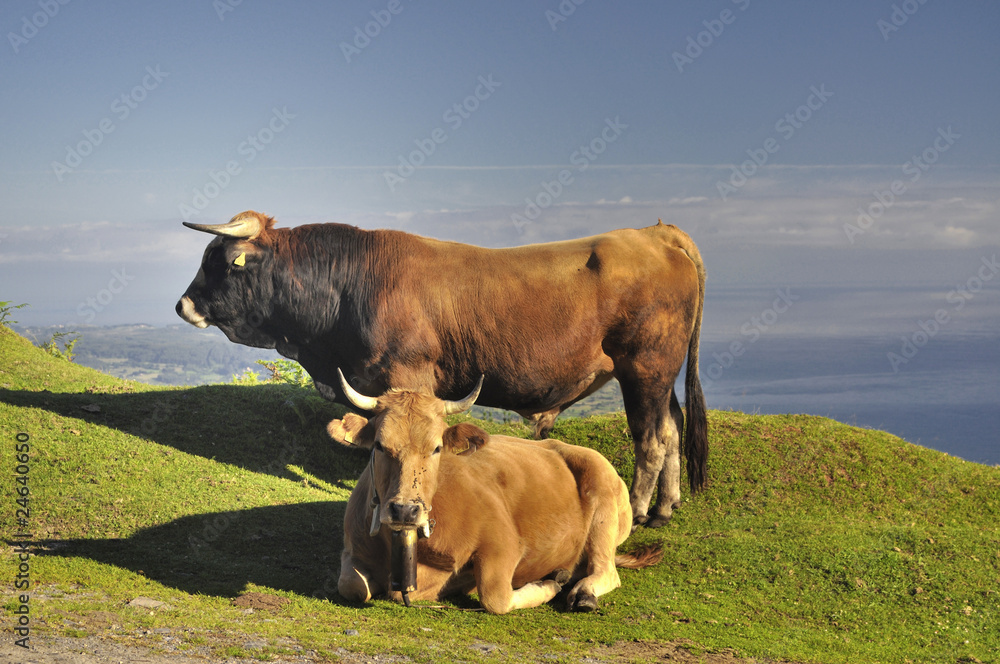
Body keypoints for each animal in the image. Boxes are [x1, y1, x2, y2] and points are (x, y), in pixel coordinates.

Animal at [176, 210, 707, 526]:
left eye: (220, 261)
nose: (183, 305)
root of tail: (653, 232)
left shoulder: (407, 374)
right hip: (661, 375)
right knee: (673, 428)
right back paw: (667, 505)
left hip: (645, 367)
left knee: (652, 438)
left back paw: (638, 510)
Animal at [328, 369, 662, 613]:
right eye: (379, 446)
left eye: (436, 448)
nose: (405, 510)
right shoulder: (351, 547)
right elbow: (352, 586)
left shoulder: (504, 543)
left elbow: (495, 598)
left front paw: (547, 585)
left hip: (604, 510)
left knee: (605, 570)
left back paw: (582, 592)